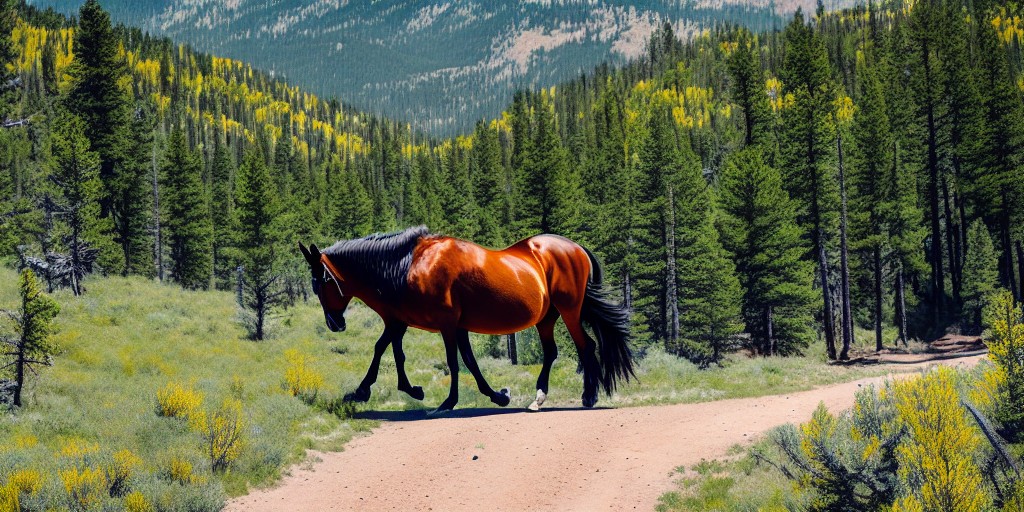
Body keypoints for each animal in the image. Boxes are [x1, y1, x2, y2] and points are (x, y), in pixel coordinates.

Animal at [298, 226, 634, 413]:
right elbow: (392, 351)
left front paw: (447, 402)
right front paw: (497, 395)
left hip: (569, 310)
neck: (407, 267)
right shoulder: (411, 322)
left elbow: (452, 361)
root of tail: (576, 248)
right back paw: (539, 398)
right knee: (552, 352)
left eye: (320, 282)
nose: (335, 324)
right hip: (547, 317)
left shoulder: (444, 323)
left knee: (585, 347)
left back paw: (588, 396)